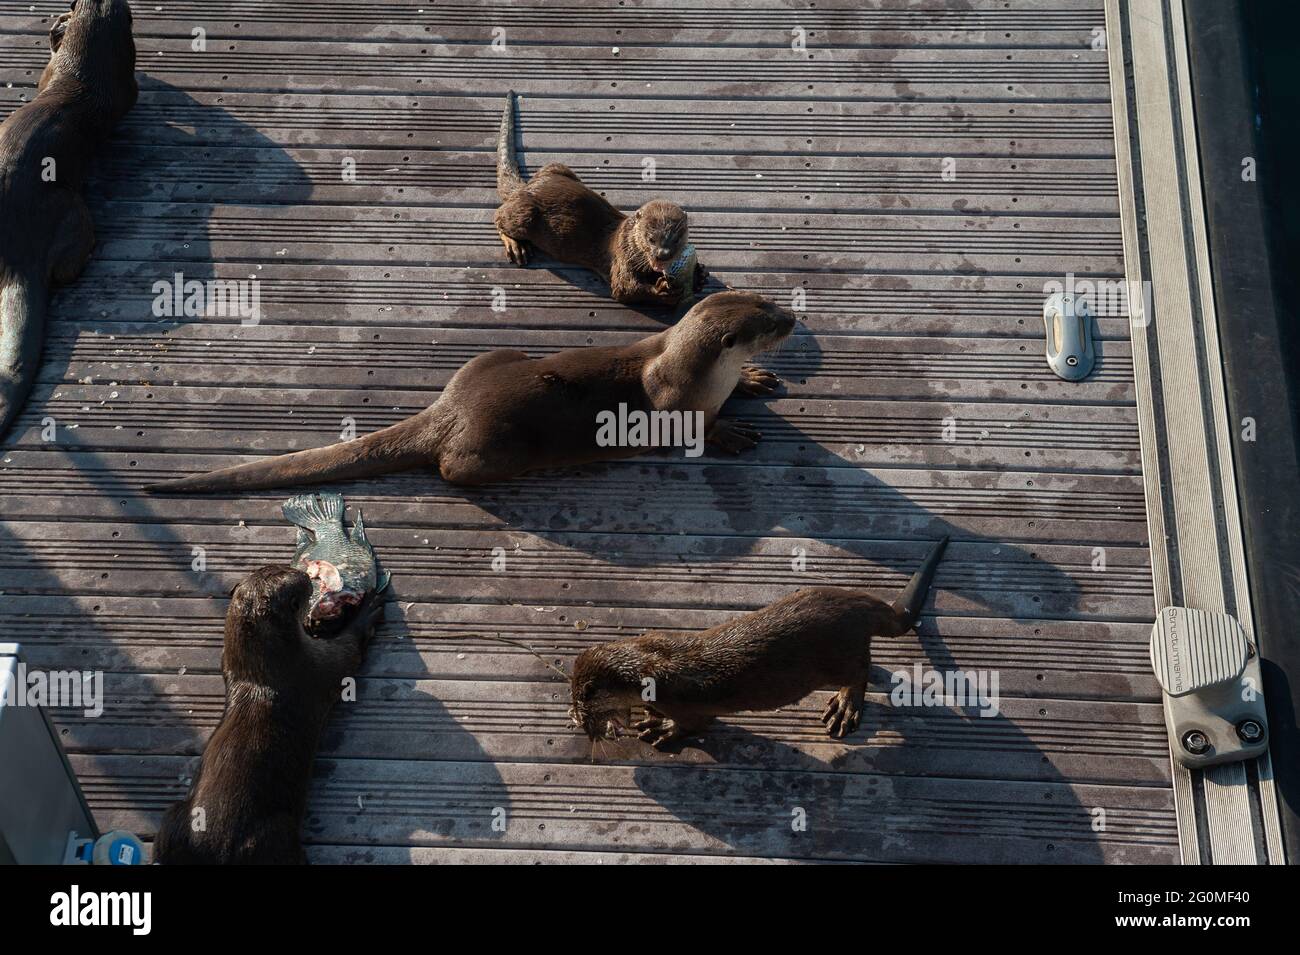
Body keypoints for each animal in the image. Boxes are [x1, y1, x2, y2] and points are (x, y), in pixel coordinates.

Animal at [146, 291, 793, 494]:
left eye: (768, 302)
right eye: (766, 324)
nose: (791, 318)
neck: (700, 372)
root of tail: (450, 411)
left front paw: (754, 381)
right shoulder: (675, 403)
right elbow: (699, 428)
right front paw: (731, 432)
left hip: (486, 361)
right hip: (491, 449)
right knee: (454, 468)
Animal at [153, 565, 384, 865]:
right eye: (300, 580)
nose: (304, 572)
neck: (259, 676)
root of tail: (213, 849)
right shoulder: (318, 666)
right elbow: (349, 650)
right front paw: (368, 609)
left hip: (173, 819)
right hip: (274, 833)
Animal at [494, 90, 707, 306]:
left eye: (677, 240)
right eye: (651, 239)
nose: (662, 255)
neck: (629, 242)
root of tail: (527, 188)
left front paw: (699, 276)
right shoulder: (622, 258)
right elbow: (624, 288)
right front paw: (664, 290)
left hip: (557, 167)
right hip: (525, 214)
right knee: (498, 216)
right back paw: (516, 246)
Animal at [570, 538, 949, 750]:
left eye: (582, 704)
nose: (579, 724)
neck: (648, 663)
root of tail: (854, 603)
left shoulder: (685, 706)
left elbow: (694, 724)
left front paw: (661, 727)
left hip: (839, 655)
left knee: (860, 672)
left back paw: (845, 706)